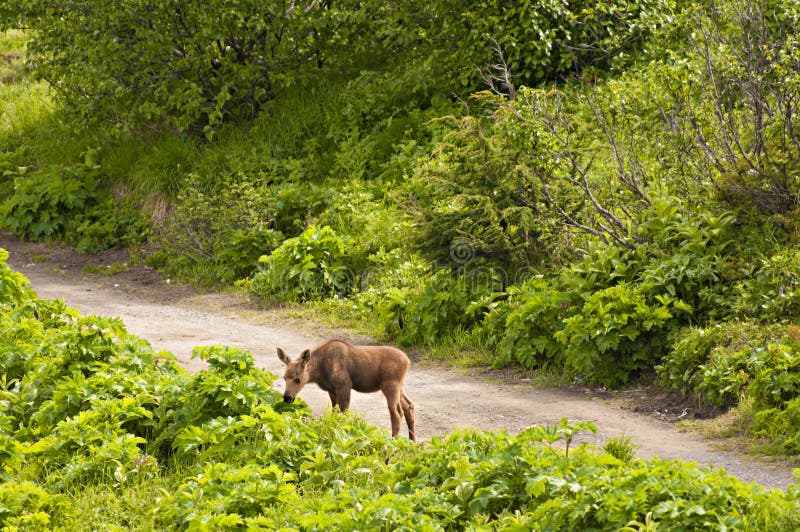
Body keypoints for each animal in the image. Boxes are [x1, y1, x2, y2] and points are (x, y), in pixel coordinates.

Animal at [277, 339, 416, 441]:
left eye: (297, 379)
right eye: (284, 377)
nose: (287, 398)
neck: (320, 372)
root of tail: (408, 361)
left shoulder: (344, 386)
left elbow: (344, 413)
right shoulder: (332, 390)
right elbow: (335, 412)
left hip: (390, 385)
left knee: (397, 413)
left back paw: (393, 442)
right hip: (399, 386)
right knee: (409, 406)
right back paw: (412, 440)